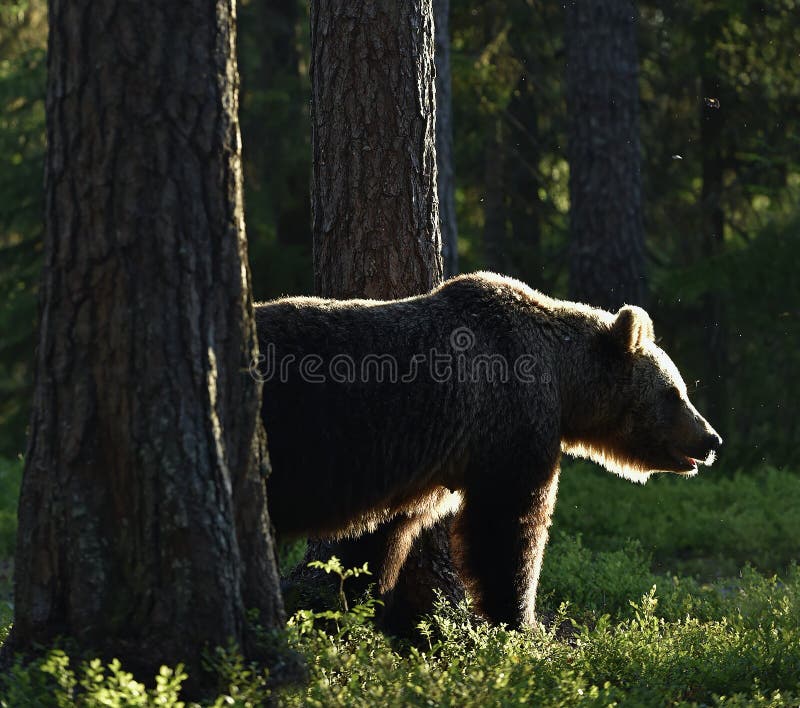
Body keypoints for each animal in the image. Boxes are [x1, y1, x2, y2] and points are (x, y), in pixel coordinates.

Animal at [253, 271, 721, 627]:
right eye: (675, 393)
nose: (711, 439)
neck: (563, 386)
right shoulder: (508, 424)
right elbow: (508, 528)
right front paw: (520, 619)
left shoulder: (414, 463)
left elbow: (381, 536)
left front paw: (359, 603)